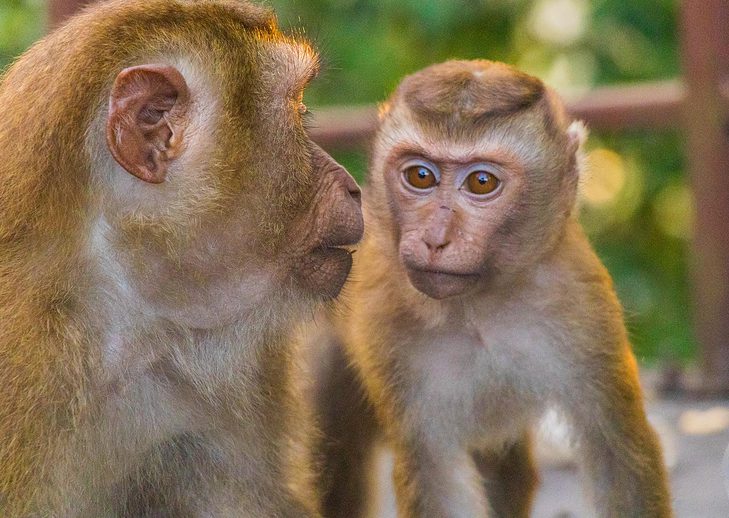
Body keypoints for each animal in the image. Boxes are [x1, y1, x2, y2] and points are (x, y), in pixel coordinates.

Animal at [309, 60, 672, 518]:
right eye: (420, 176)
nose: (436, 238)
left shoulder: (582, 306)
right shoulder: (387, 330)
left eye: (482, 182)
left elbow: (615, 450)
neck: (477, 308)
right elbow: (434, 474)